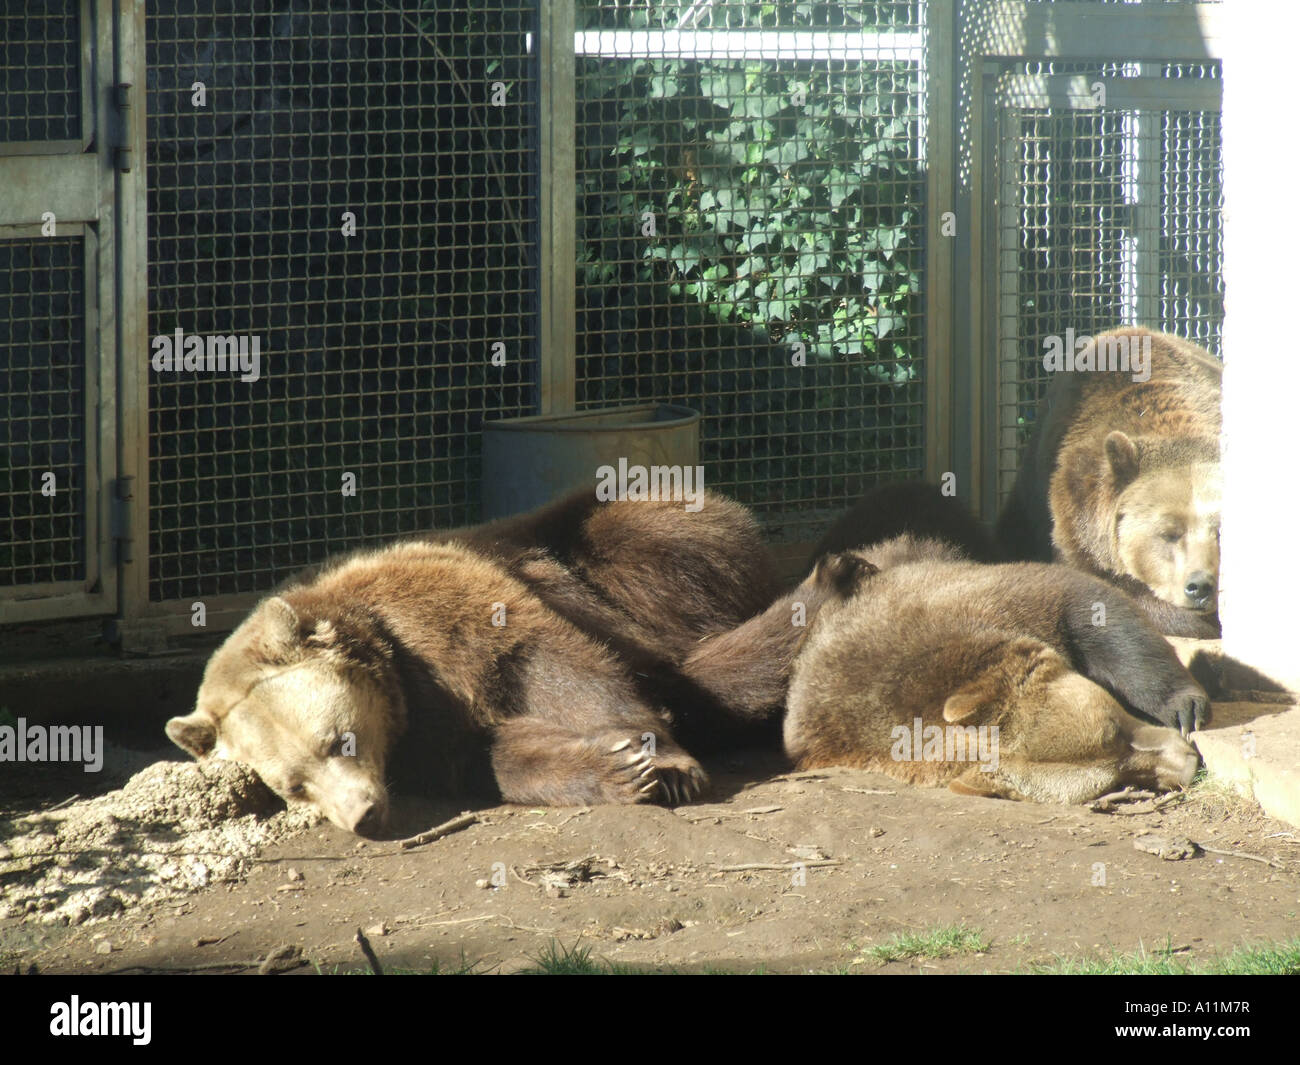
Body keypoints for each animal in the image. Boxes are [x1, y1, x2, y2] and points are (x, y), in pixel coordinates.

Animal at [165, 489, 812, 835]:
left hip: (642, 547)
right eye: (292, 787)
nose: (363, 816)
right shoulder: (425, 733)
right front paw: (617, 767)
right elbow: (493, 753)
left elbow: (557, 666)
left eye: (335, 741)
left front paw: (665, 763)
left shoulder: (449, 609)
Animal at [784, 540, 1208, 804]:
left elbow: (1096, 613)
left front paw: (1184, 707)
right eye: (1114, 778)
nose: (1187, 764)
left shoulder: (990, 600)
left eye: (1113, 726)